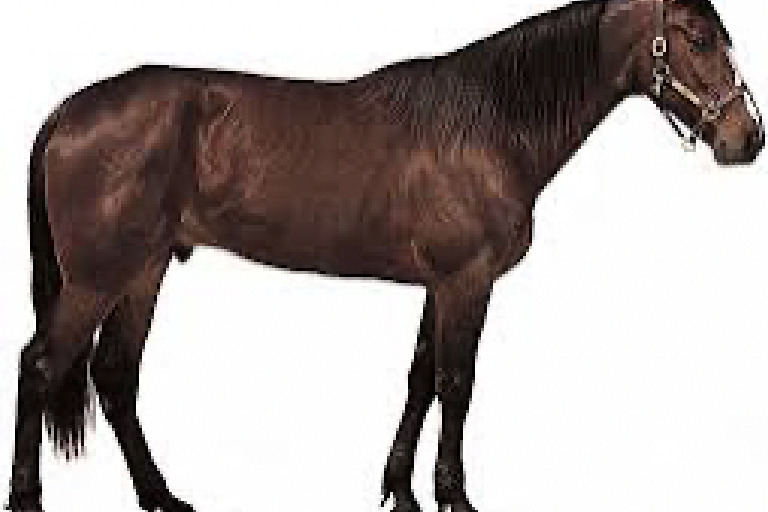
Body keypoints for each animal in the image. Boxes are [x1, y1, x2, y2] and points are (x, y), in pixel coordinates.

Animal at [7, 0, 763, 511]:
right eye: (698, 39)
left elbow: (419, 377)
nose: (746, 138)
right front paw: (455, 496)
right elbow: (457, 383)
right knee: (40, 366)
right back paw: (28, 497)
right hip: (97, 277)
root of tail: (68, 112)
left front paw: (399, 490)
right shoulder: (467, 282)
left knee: (114, 376)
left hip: (143, 269)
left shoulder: (438, 284)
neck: (488, 124)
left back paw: (164, 497)